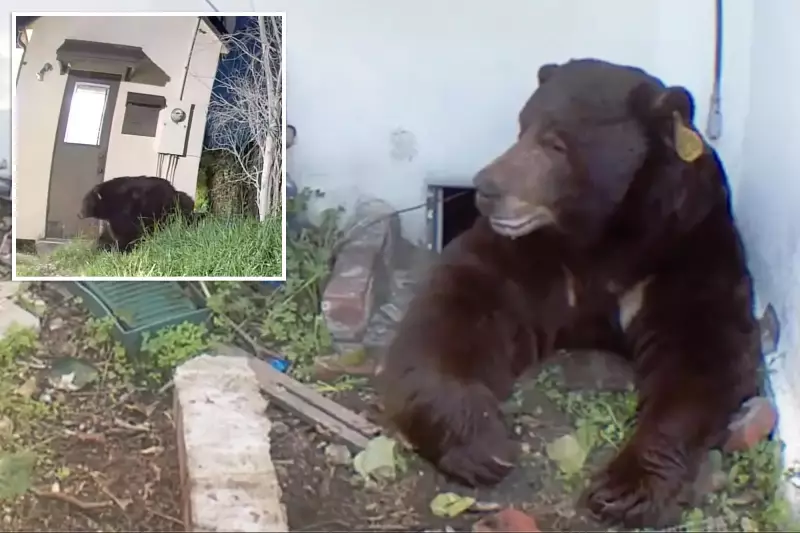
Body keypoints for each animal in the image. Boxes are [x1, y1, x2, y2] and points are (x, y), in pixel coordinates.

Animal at [377, 58, 761, 529]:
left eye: (556, 143)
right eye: (521, 127)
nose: (486, 188)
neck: (605, 238)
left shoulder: (686, 248)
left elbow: (703, 353)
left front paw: (623, 489)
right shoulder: (534, 257)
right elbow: (458, 308)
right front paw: (483, 443)